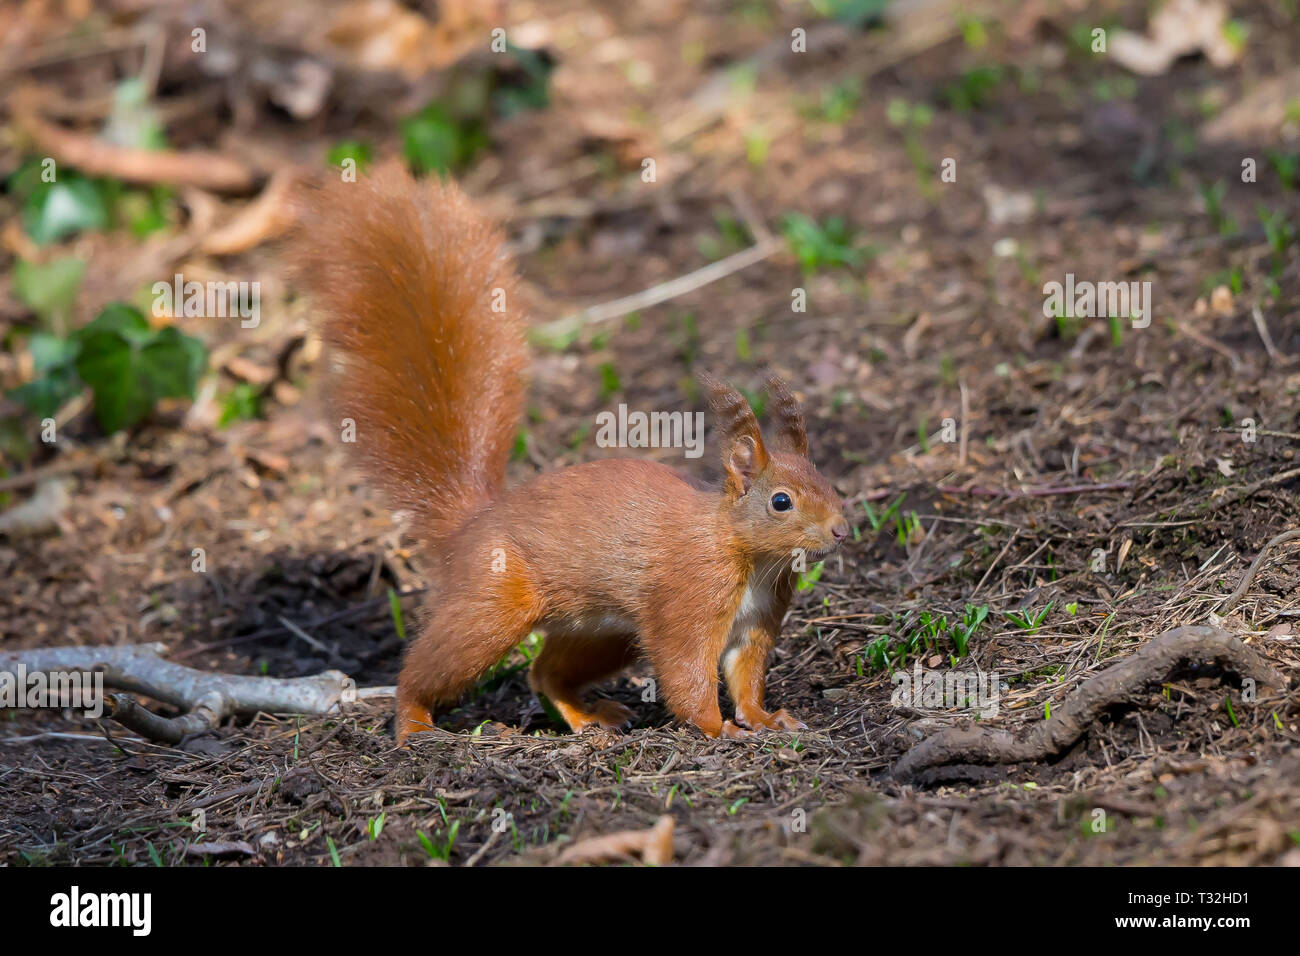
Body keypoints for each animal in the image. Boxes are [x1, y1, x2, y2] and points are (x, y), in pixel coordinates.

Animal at [293, 166, 848, 742]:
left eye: (827, 480)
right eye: (780, 501)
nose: (840, 530)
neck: (750, 555)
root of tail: (473, 521)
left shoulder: (758, 618)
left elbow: (746, 675)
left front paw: (765, 718)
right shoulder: (690, 596)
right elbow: (686, 671)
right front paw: (717, 729)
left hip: (600, 631)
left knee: (546, 672)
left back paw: (590, 716)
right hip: (493, 604)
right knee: (430, 665)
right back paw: (413, 721)